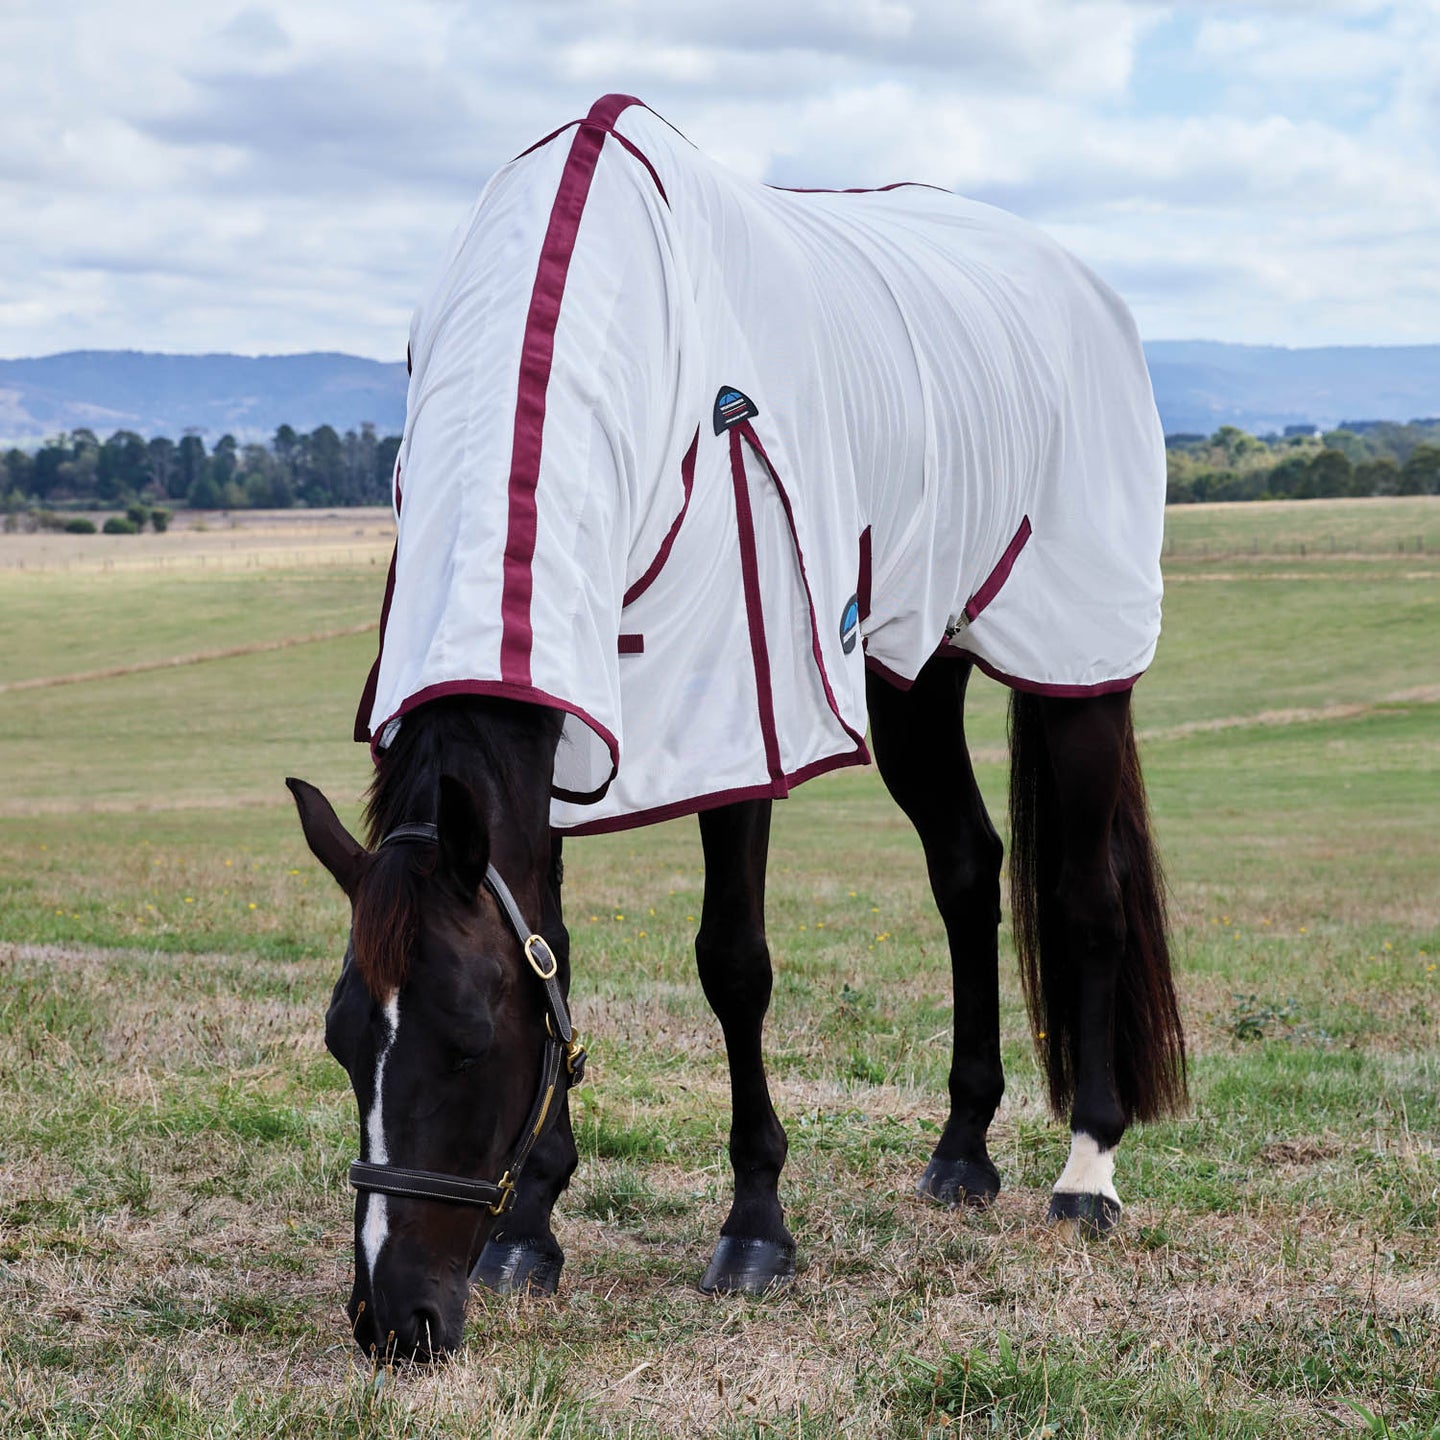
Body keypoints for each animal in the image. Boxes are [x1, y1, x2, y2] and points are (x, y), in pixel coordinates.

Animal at [288, 94, 1186, 1362]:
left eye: (464, 1040)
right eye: (341, 1039)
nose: (395, 1321)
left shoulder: (739, 723)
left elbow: (735, 965)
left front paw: (756, 1225)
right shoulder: (557, 727)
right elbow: (552, 943)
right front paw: (533, 1231)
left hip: (1078, 668)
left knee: (1087, 898)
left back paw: (1088, 1172)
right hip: (914, 672)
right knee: (969, 870)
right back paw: (962, 1154)